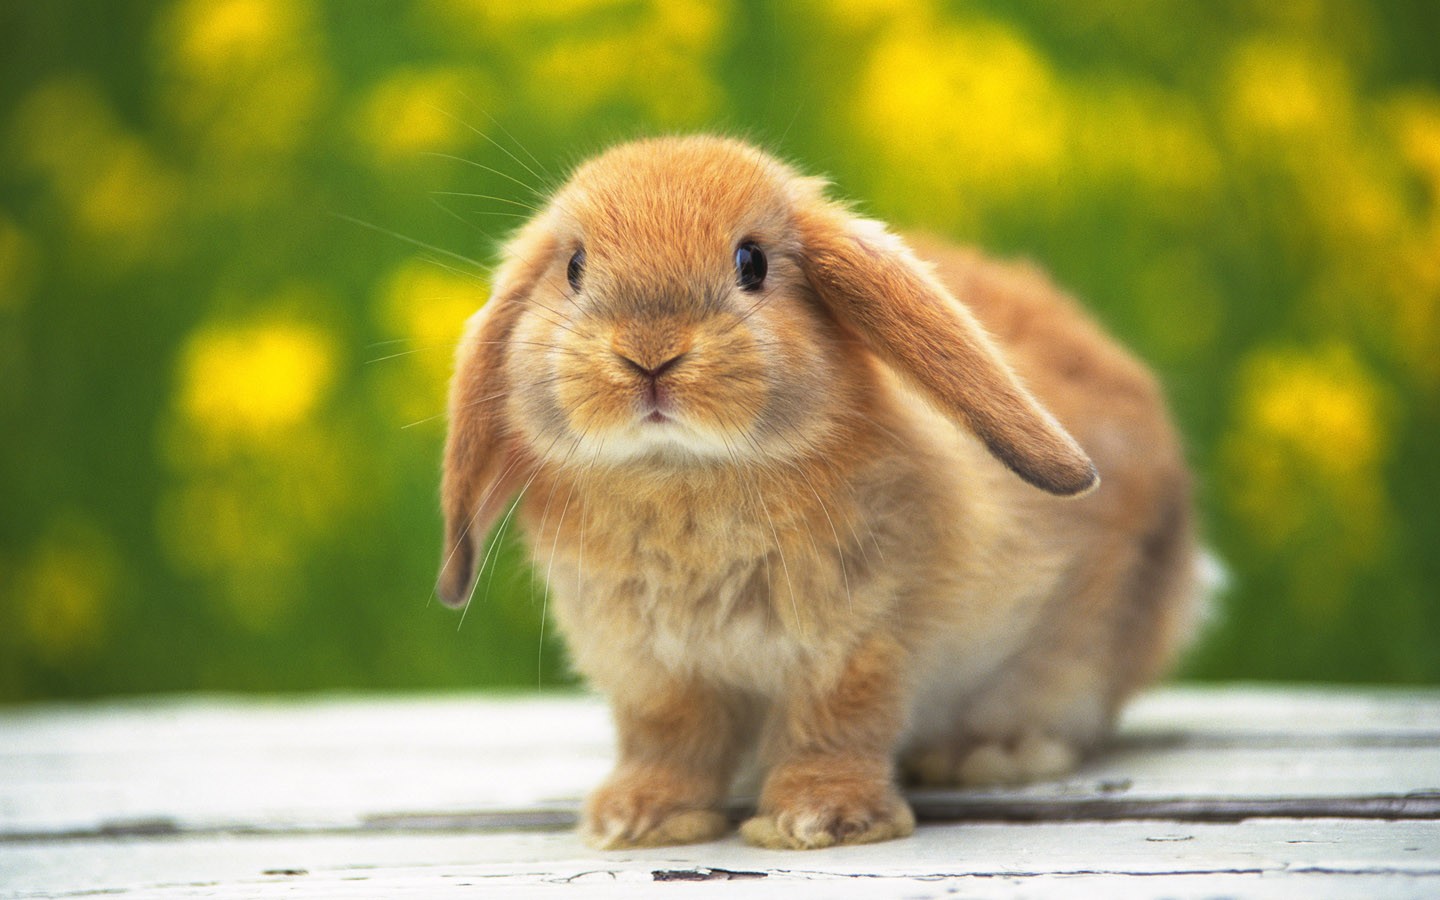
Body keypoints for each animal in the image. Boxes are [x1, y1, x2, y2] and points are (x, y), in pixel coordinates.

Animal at [436, 135, 1204, 850]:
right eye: (574, 267)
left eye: (752, 263)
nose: (649, 353)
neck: (683, 474)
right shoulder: (649, 668)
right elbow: (669, 739)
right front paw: (638, 819)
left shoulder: (858, 643)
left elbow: (834, 726)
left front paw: (817, 820)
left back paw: (990, 754)